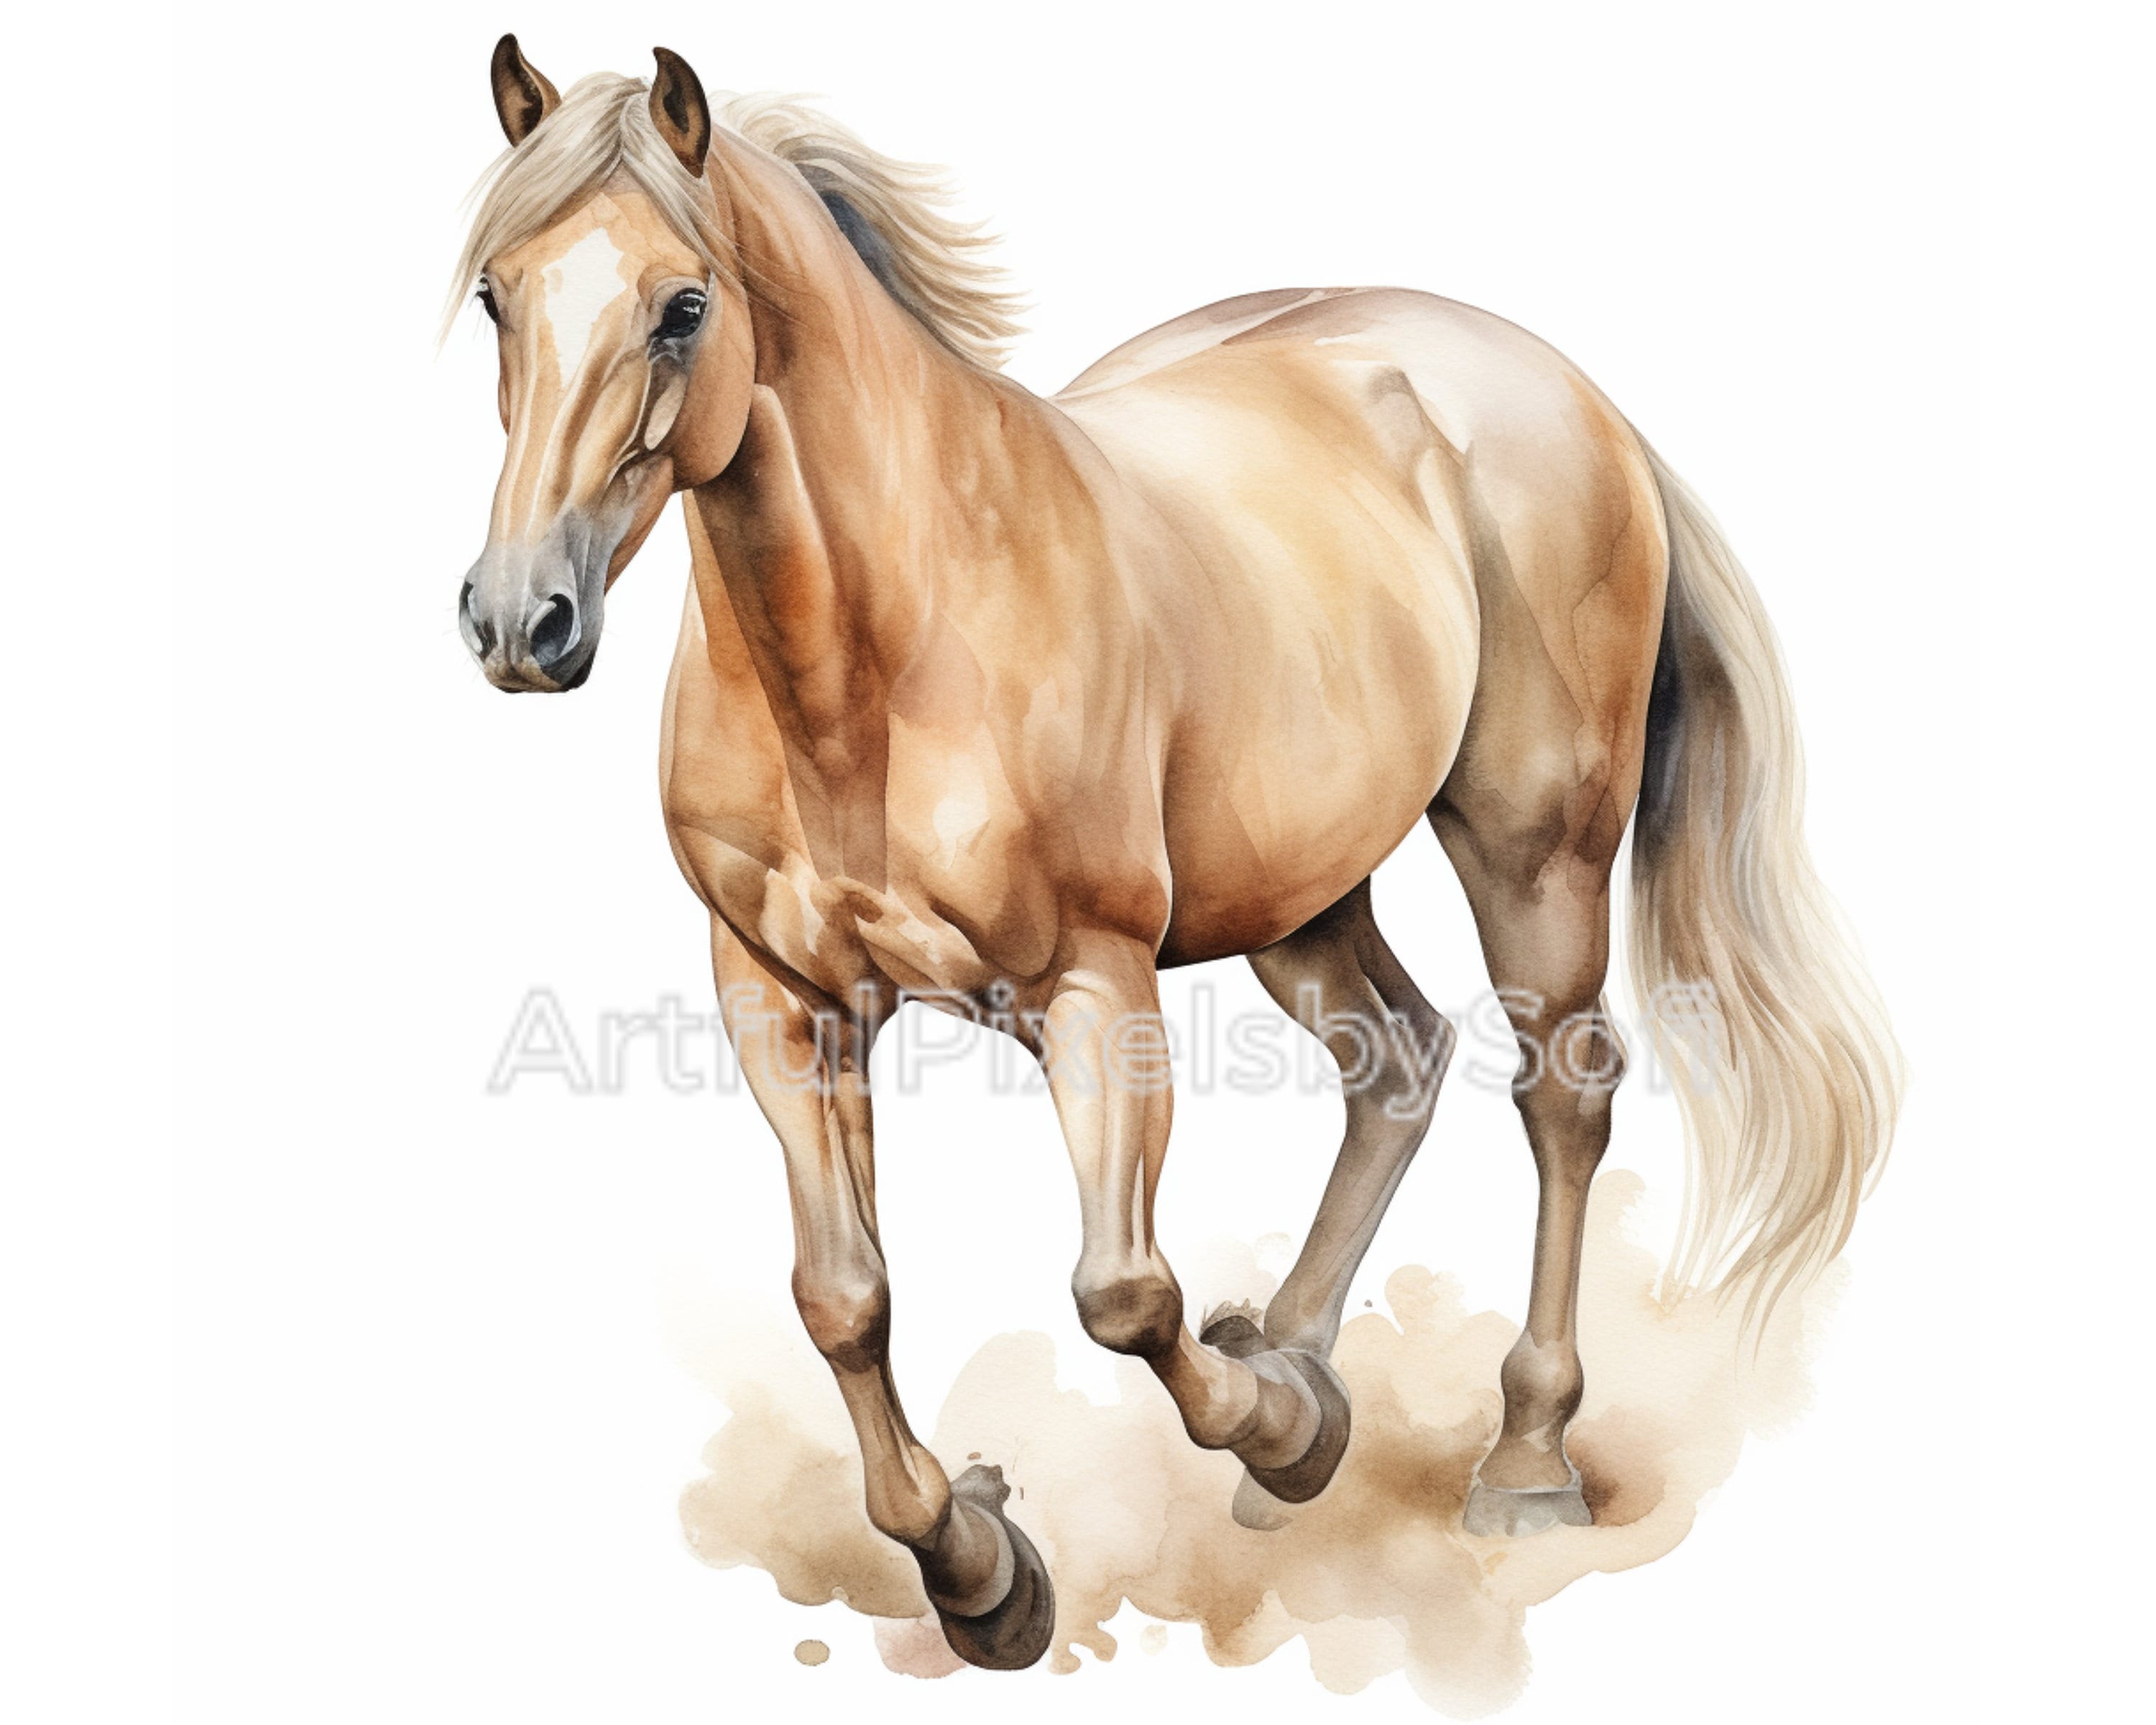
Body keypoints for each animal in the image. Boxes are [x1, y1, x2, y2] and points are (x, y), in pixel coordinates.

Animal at [446, 39, 1900, 1672]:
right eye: (498, 294)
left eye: (684, 305)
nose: (520, 620)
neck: (886, 650)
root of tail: (1564, 390)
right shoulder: (781, 1000)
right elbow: (844, 1300)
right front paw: (980, 1567)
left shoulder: (1095, 985)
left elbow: (1124, 1293)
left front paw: (1270, 1429)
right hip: (1297, 894)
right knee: (1396, 1057)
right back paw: (1302, 1372)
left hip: (1537, 854)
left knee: (1562, 1097)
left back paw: (1515, 1461)